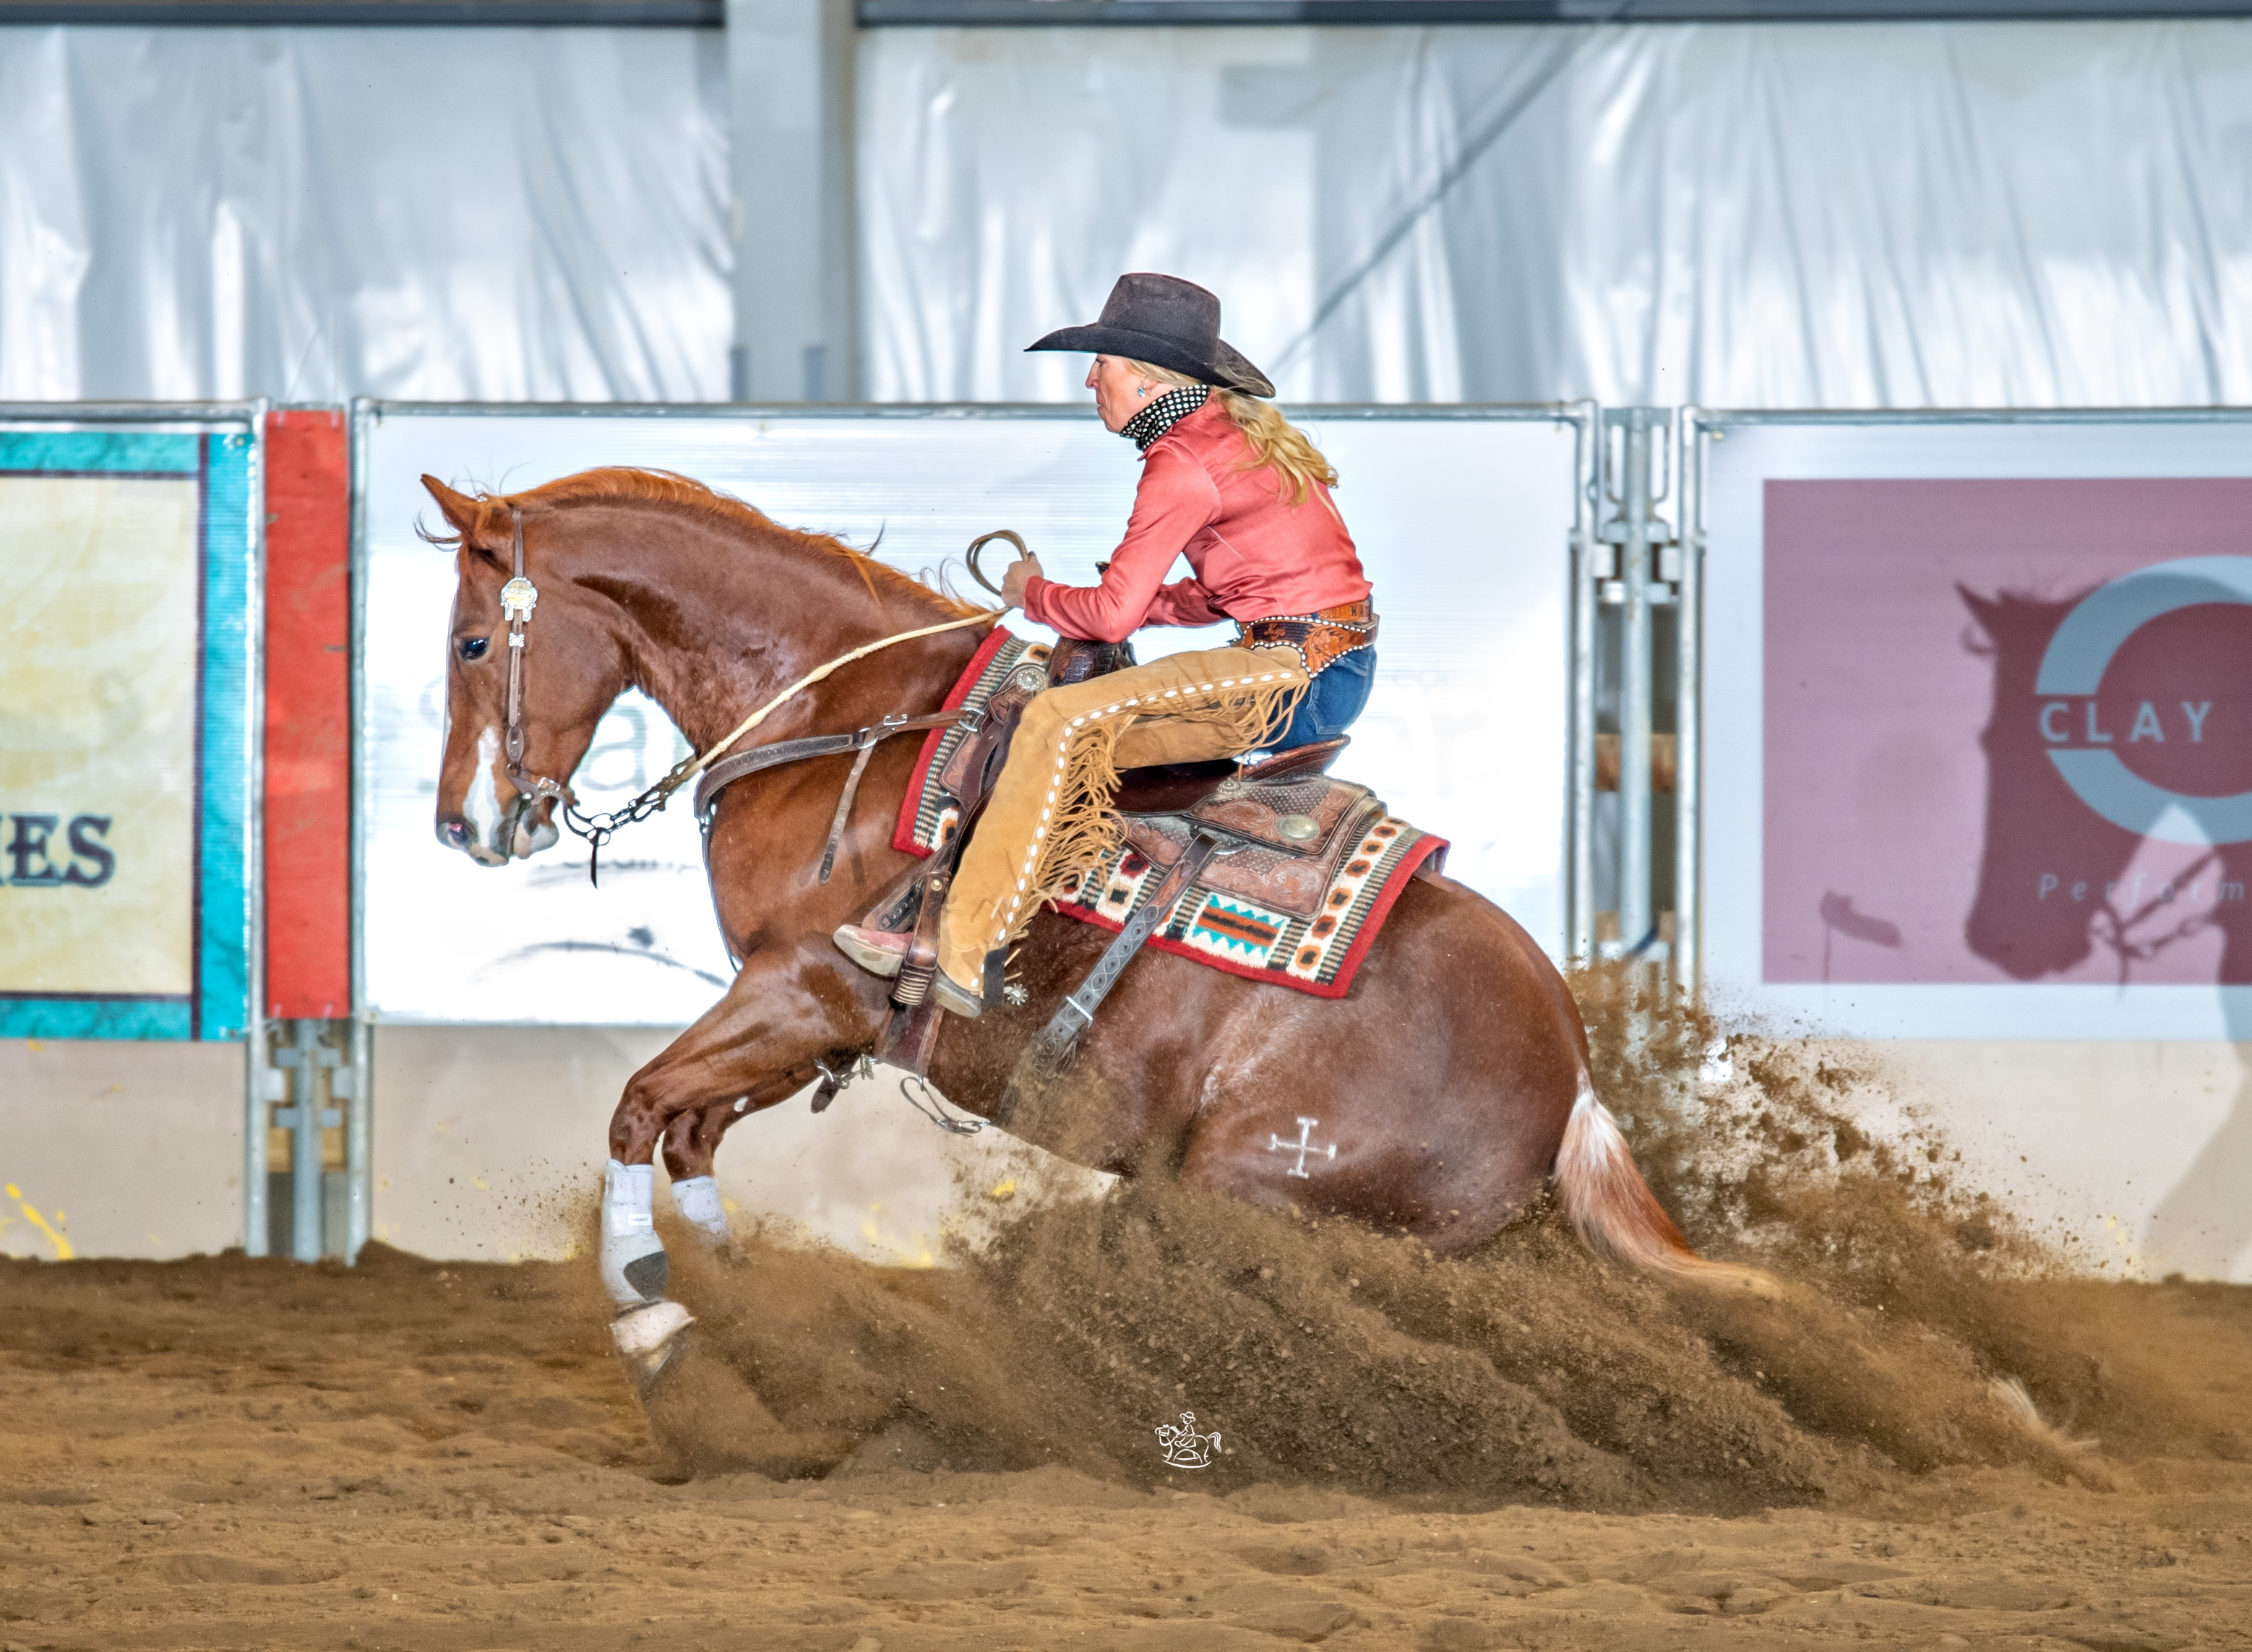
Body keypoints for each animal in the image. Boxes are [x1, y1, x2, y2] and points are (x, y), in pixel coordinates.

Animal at [420, 467, 1746, 1369]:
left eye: (474, 639)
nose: (462, 824)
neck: (844, 717)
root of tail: (1570, 1077)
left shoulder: (801, 989)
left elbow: (640, 1103)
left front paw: (646, 1310)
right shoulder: (816, 1019)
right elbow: (687, 1131)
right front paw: (719, 1295)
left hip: (1243, 1194)